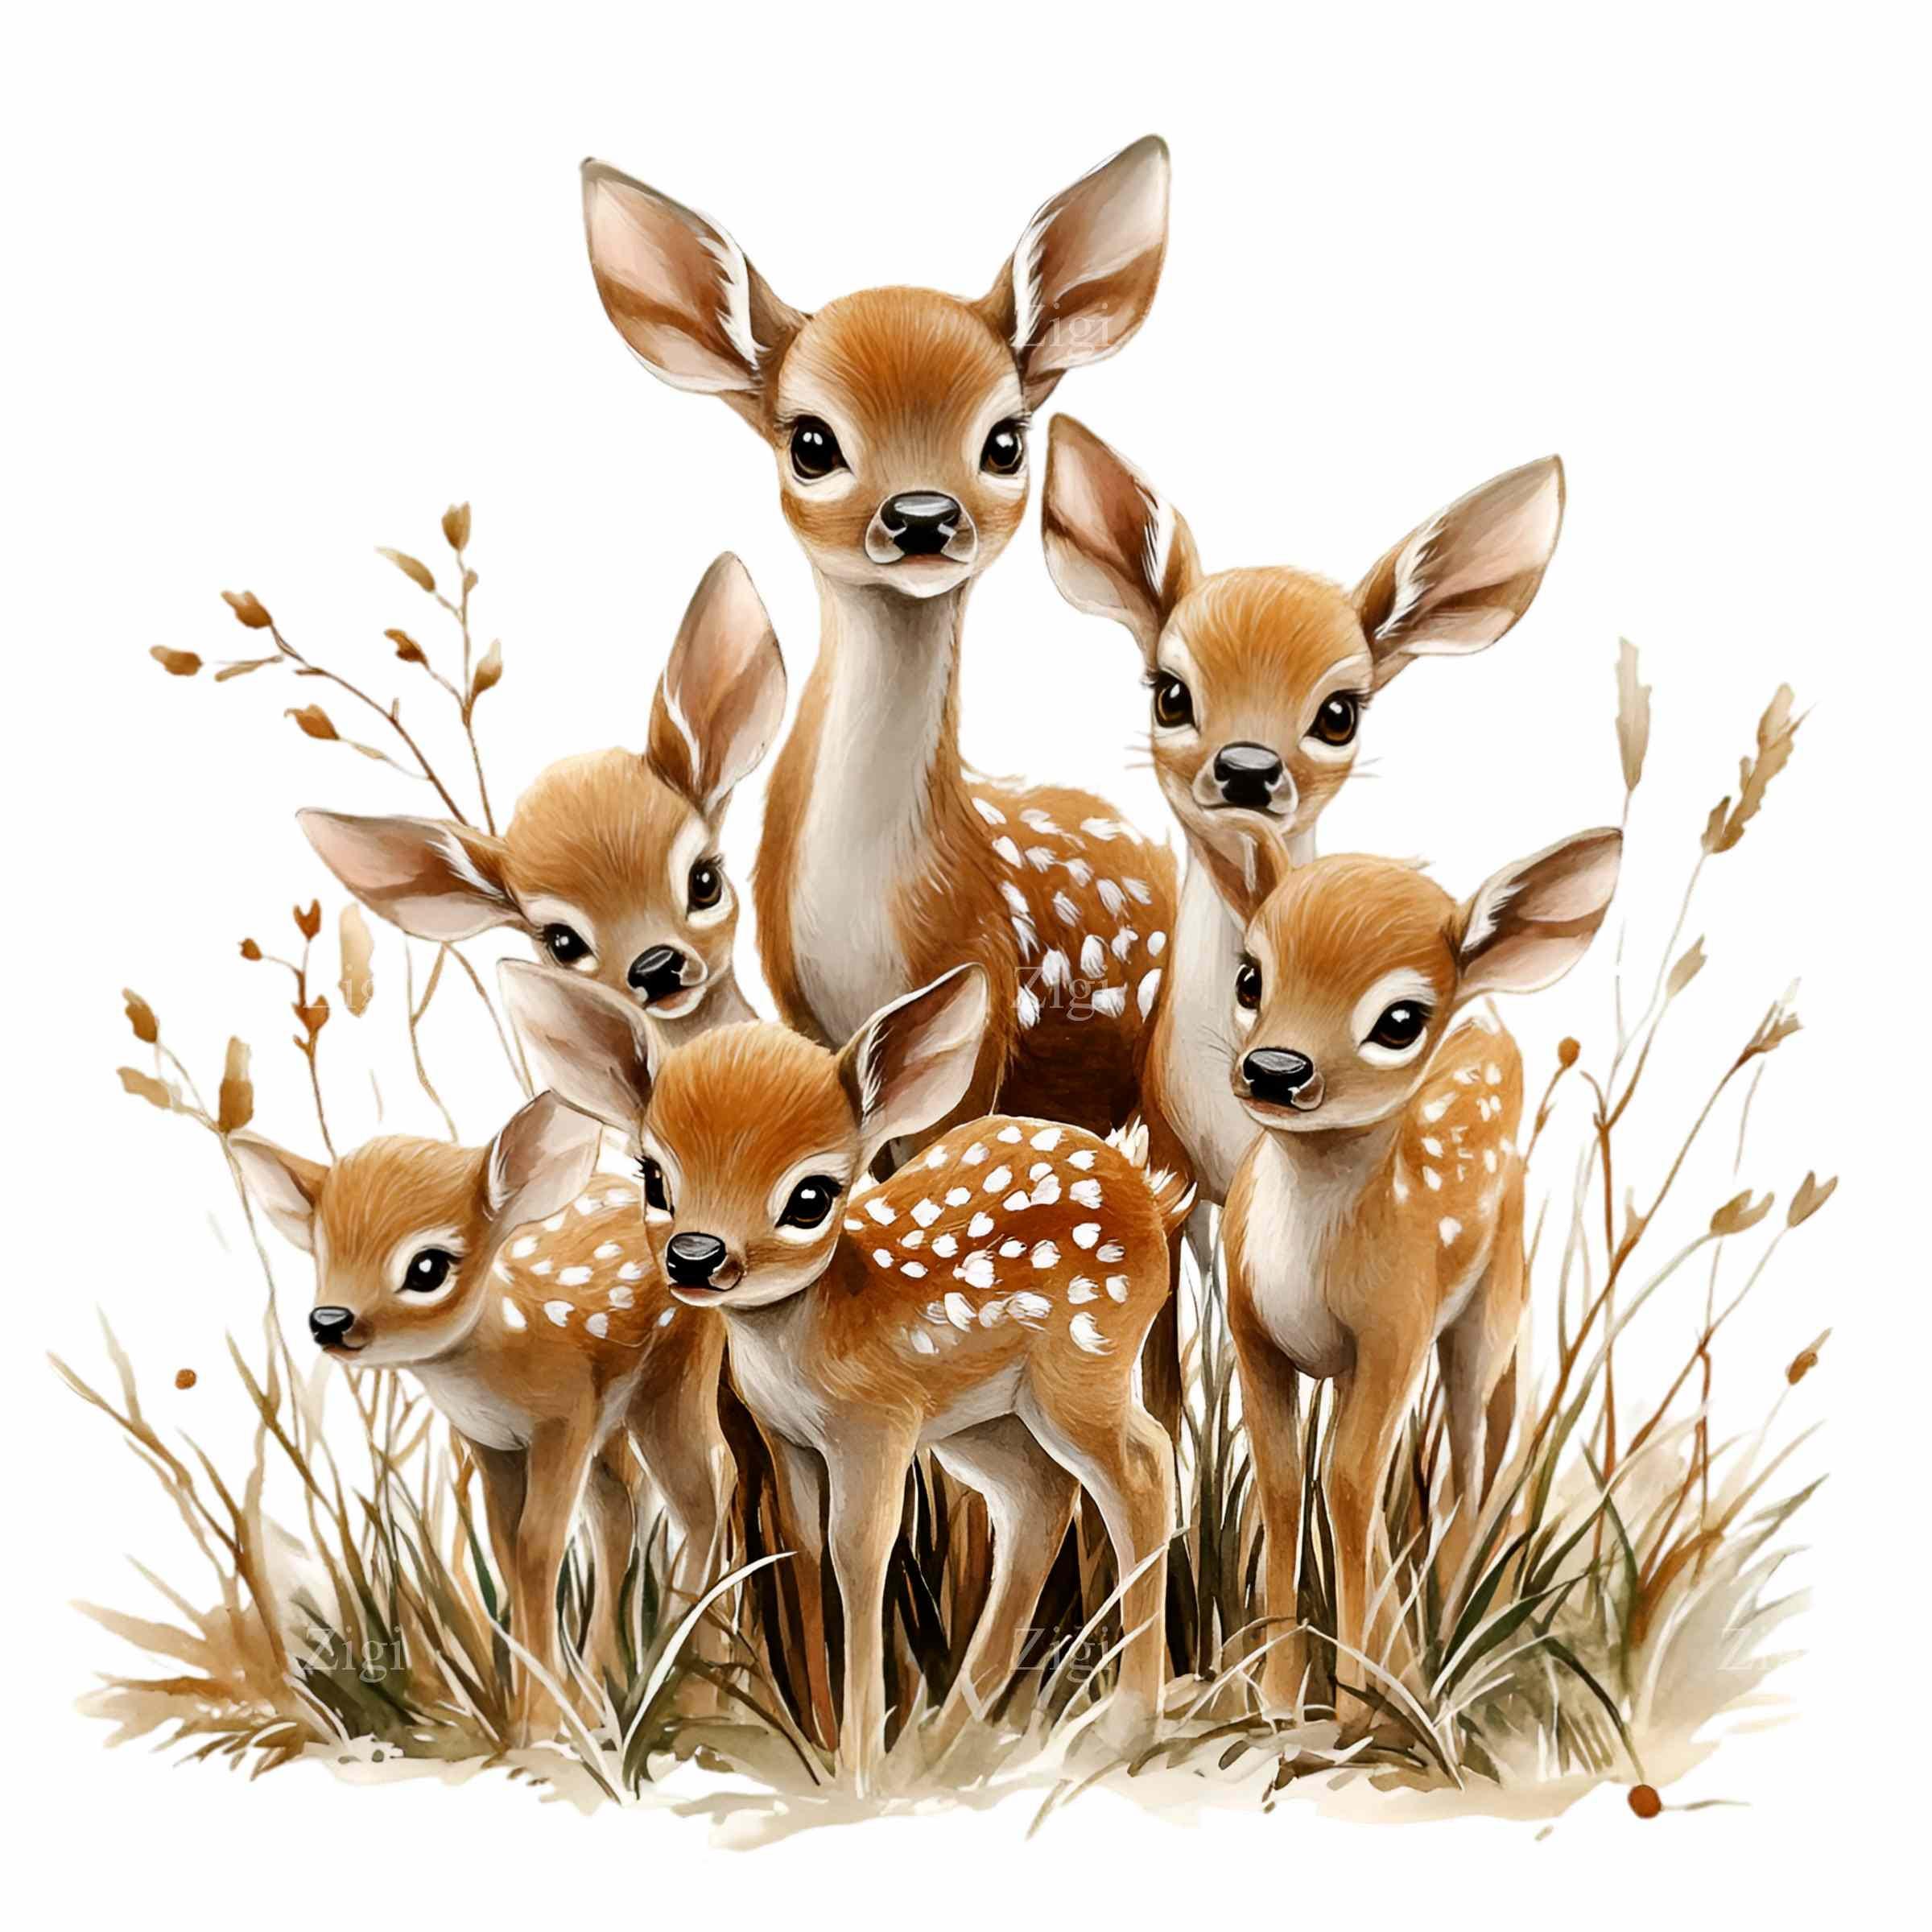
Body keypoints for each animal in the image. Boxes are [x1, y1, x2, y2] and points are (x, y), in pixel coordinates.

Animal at [230, 1092, 734, 1743]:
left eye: (427, 1267)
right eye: (322, 1253)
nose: (329, 1321)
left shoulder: (564, 1415)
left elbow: (539, 1545)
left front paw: (540, 1725)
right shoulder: (491, 1439)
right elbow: (505, 1544)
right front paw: (530, 1716)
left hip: (673, 1376)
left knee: (708, 1490)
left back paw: (696, 1695)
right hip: (613, 1419)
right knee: (622, 1512)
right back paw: (600, 1692)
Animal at [498, 957, 1195, 1789]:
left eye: (811, 1195)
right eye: (654, 1176)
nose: (696, 1256)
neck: (817, 1335)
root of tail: (1152, 1198)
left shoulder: (878, 1422)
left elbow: (861, 1554)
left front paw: (860, 1769)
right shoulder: (788, 1438)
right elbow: (803, 1547)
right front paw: (827, 1749)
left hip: (1082, 1365)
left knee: (1144, 1466)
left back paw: (1119, 1728)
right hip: (983, 1418)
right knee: (1038, 1501)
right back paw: (943, 1743)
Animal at [1210, 827, 1621, 1725]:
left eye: (1400, 1020)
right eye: (1249, 975)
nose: (1275, 1070)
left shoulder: (1395, 1325)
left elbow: (1351, 1483)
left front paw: (1357, 1712)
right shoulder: (1251, 1331)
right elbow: (1286, 1486)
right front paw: (1280, 1699)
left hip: (1488, 1309)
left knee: (1479, 1462)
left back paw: (1458, 1640)